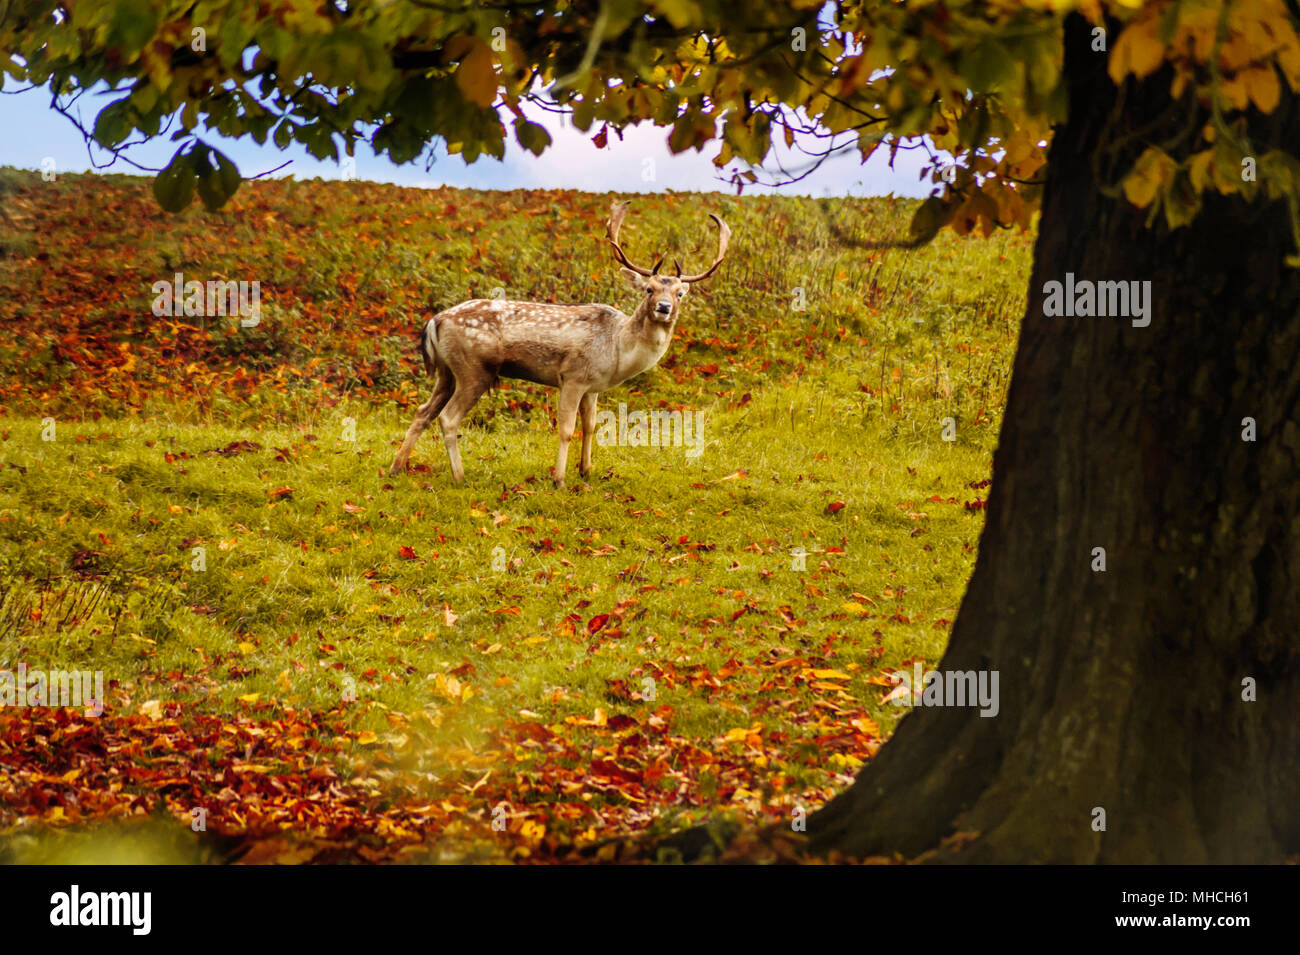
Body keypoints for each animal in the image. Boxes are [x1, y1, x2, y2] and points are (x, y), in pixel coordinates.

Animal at [389, 200, 730, 487]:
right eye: (649, 289)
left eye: (680, 293)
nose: (663, 307)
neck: (617, 350)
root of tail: (435, 321)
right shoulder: (573, 377)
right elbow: (566, 430)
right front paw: (559, 480)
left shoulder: (593, 387)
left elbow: (591, 425)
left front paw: (587, 471)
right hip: (474, 369)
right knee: (448, 418)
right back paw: (459, 477)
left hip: (448, 372)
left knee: (423, 411)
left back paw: (397, 467)